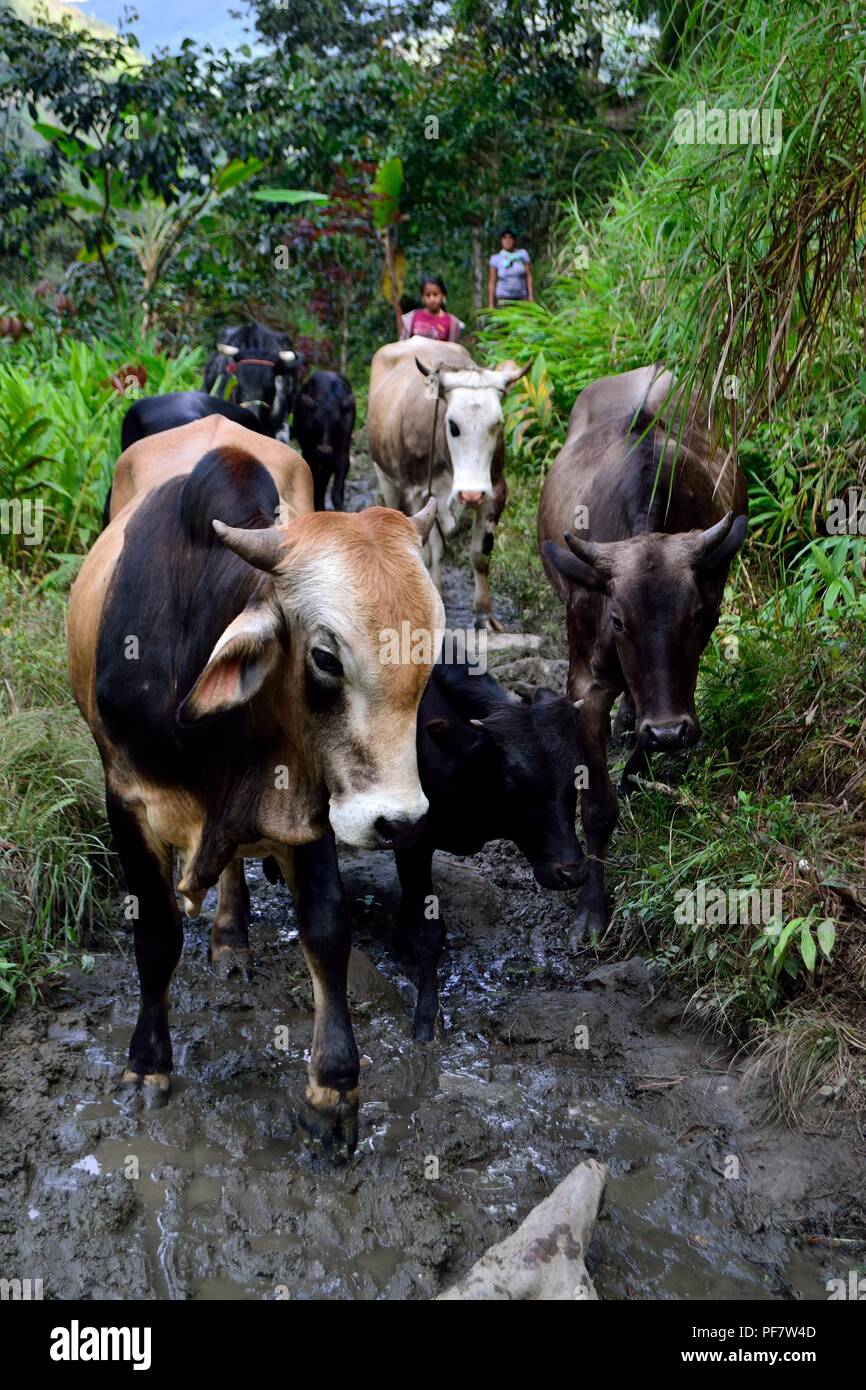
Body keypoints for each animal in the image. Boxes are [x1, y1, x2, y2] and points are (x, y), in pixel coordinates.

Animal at [68, 416, 444, 1156]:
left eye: (429, 656)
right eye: (325, 656)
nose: (401, 823)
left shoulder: (311, 800)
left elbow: (326, 928)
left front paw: (334, 1090)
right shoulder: (124, 799)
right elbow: (157, 934)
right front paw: (147, 1064)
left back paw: (231, 935)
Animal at [292, 371, 356, 511]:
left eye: (336, 425)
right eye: (316, 425)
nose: (324, 450)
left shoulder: (342, 450)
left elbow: (336, 494)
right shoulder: (309, 452)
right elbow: (314, 478)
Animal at [367, 337, 528, 629]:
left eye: (497, 423)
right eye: (453, 425)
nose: (471, 494)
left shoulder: (495, 492)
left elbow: (479, 555)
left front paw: (484, 614)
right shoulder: (415, 493)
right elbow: (428, 550)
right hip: (386, 478)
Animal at [537, 364, 748, 946]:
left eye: (701, 616)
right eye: (616, 620)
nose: (671, 732)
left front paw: (638, 766)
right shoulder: (585, 684)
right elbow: (596, 808)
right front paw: (591, 910)